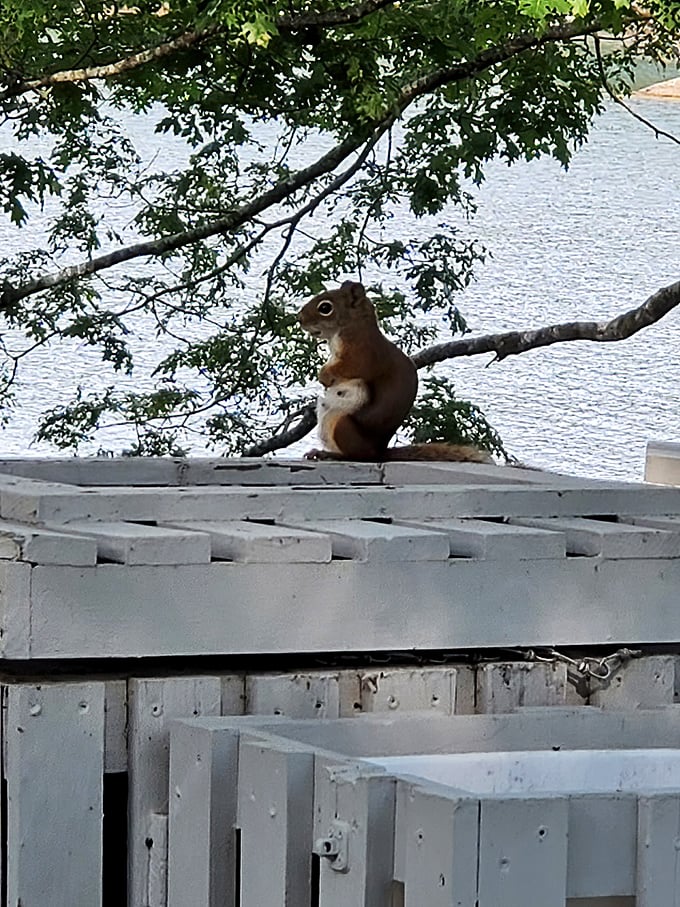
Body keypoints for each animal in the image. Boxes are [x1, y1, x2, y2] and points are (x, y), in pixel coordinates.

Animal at [298, 280, 492, 463]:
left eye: (325, 307)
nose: (299, 318)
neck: (352, 327)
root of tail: (380, 453)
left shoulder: (363, 353)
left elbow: (349, 367)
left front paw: (324, 376)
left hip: (341, 427)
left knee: (358, 456)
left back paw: (331, 455)